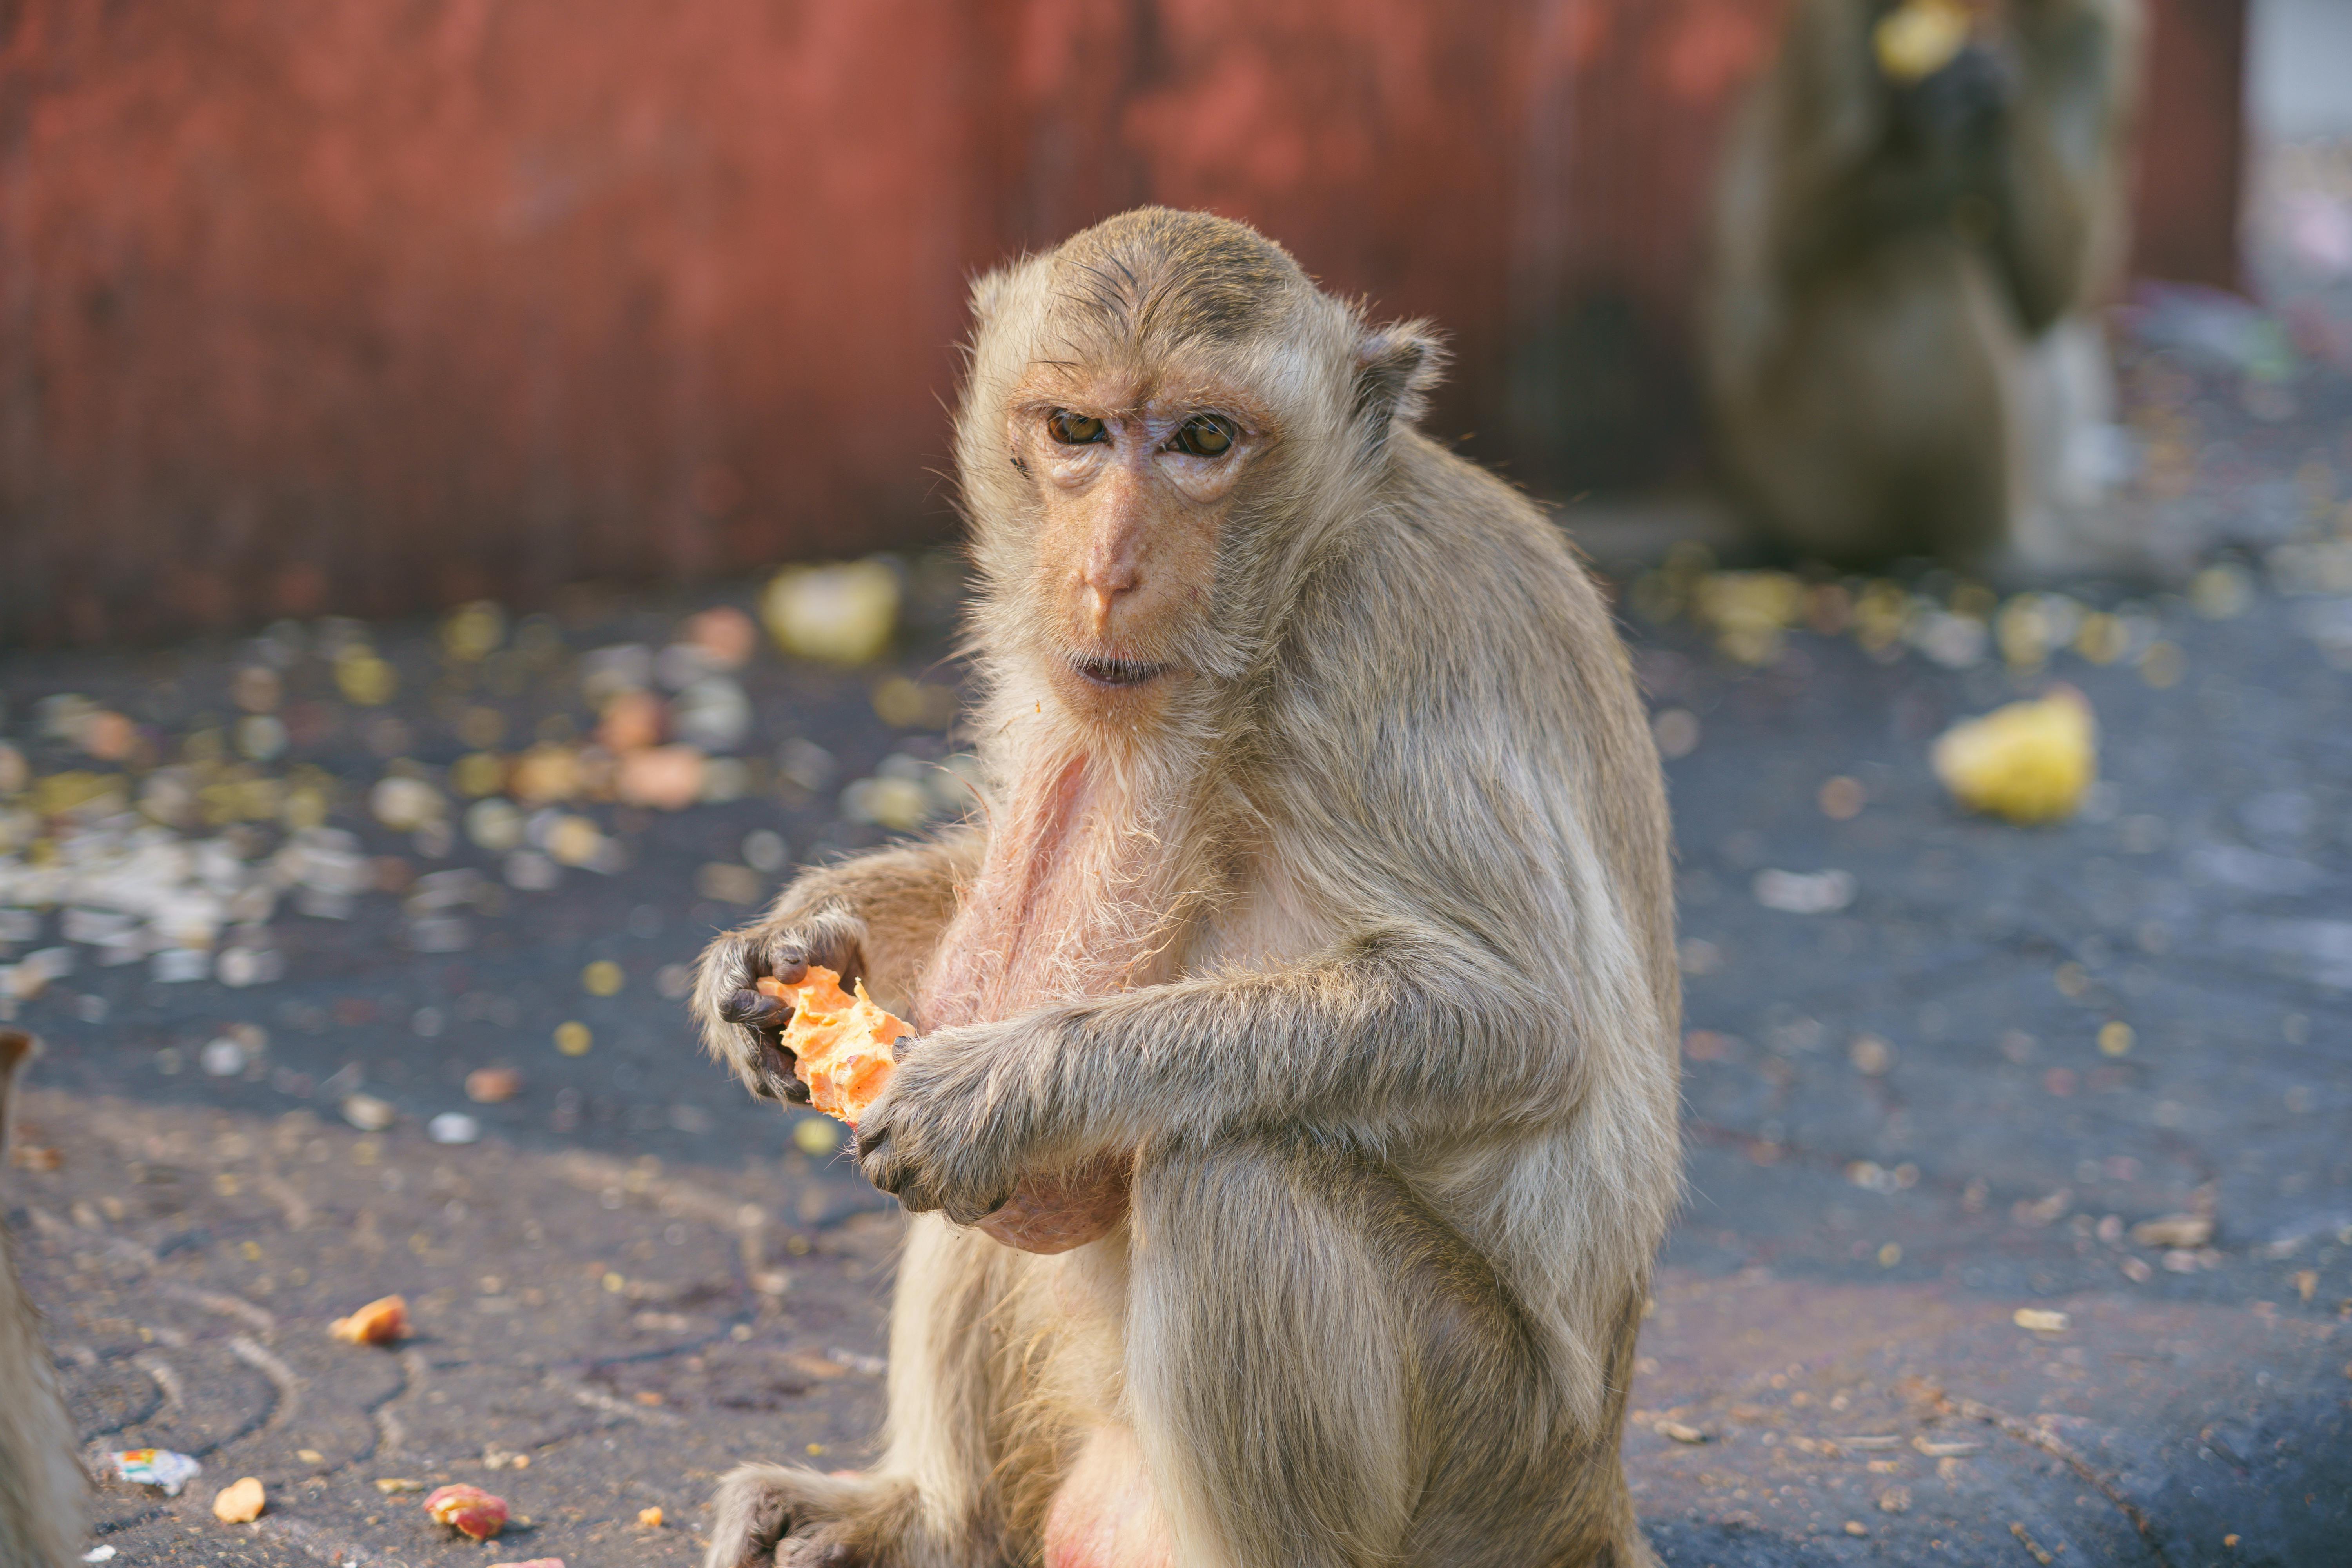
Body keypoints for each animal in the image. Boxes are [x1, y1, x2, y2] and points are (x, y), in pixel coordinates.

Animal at [693, 207, 1682, 1568]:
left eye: (1204, 441)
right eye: (1075, 430)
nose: (1107, 570)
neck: (1278, 602)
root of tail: (1595, 1494)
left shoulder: (1368, 661)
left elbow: (1519, 1022)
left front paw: (1006, 1087)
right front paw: (782, 951)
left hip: (1491, 1456)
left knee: (1231, 1168)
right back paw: (925, 1520)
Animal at [1703, 0, 2145, 576]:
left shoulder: (2088, 28)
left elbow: (2047, 298)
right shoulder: (1831, 28)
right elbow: (1772, 258)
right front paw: (1928, 129)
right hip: (1803, 465)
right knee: (1919, 259)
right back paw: (1995, 552)